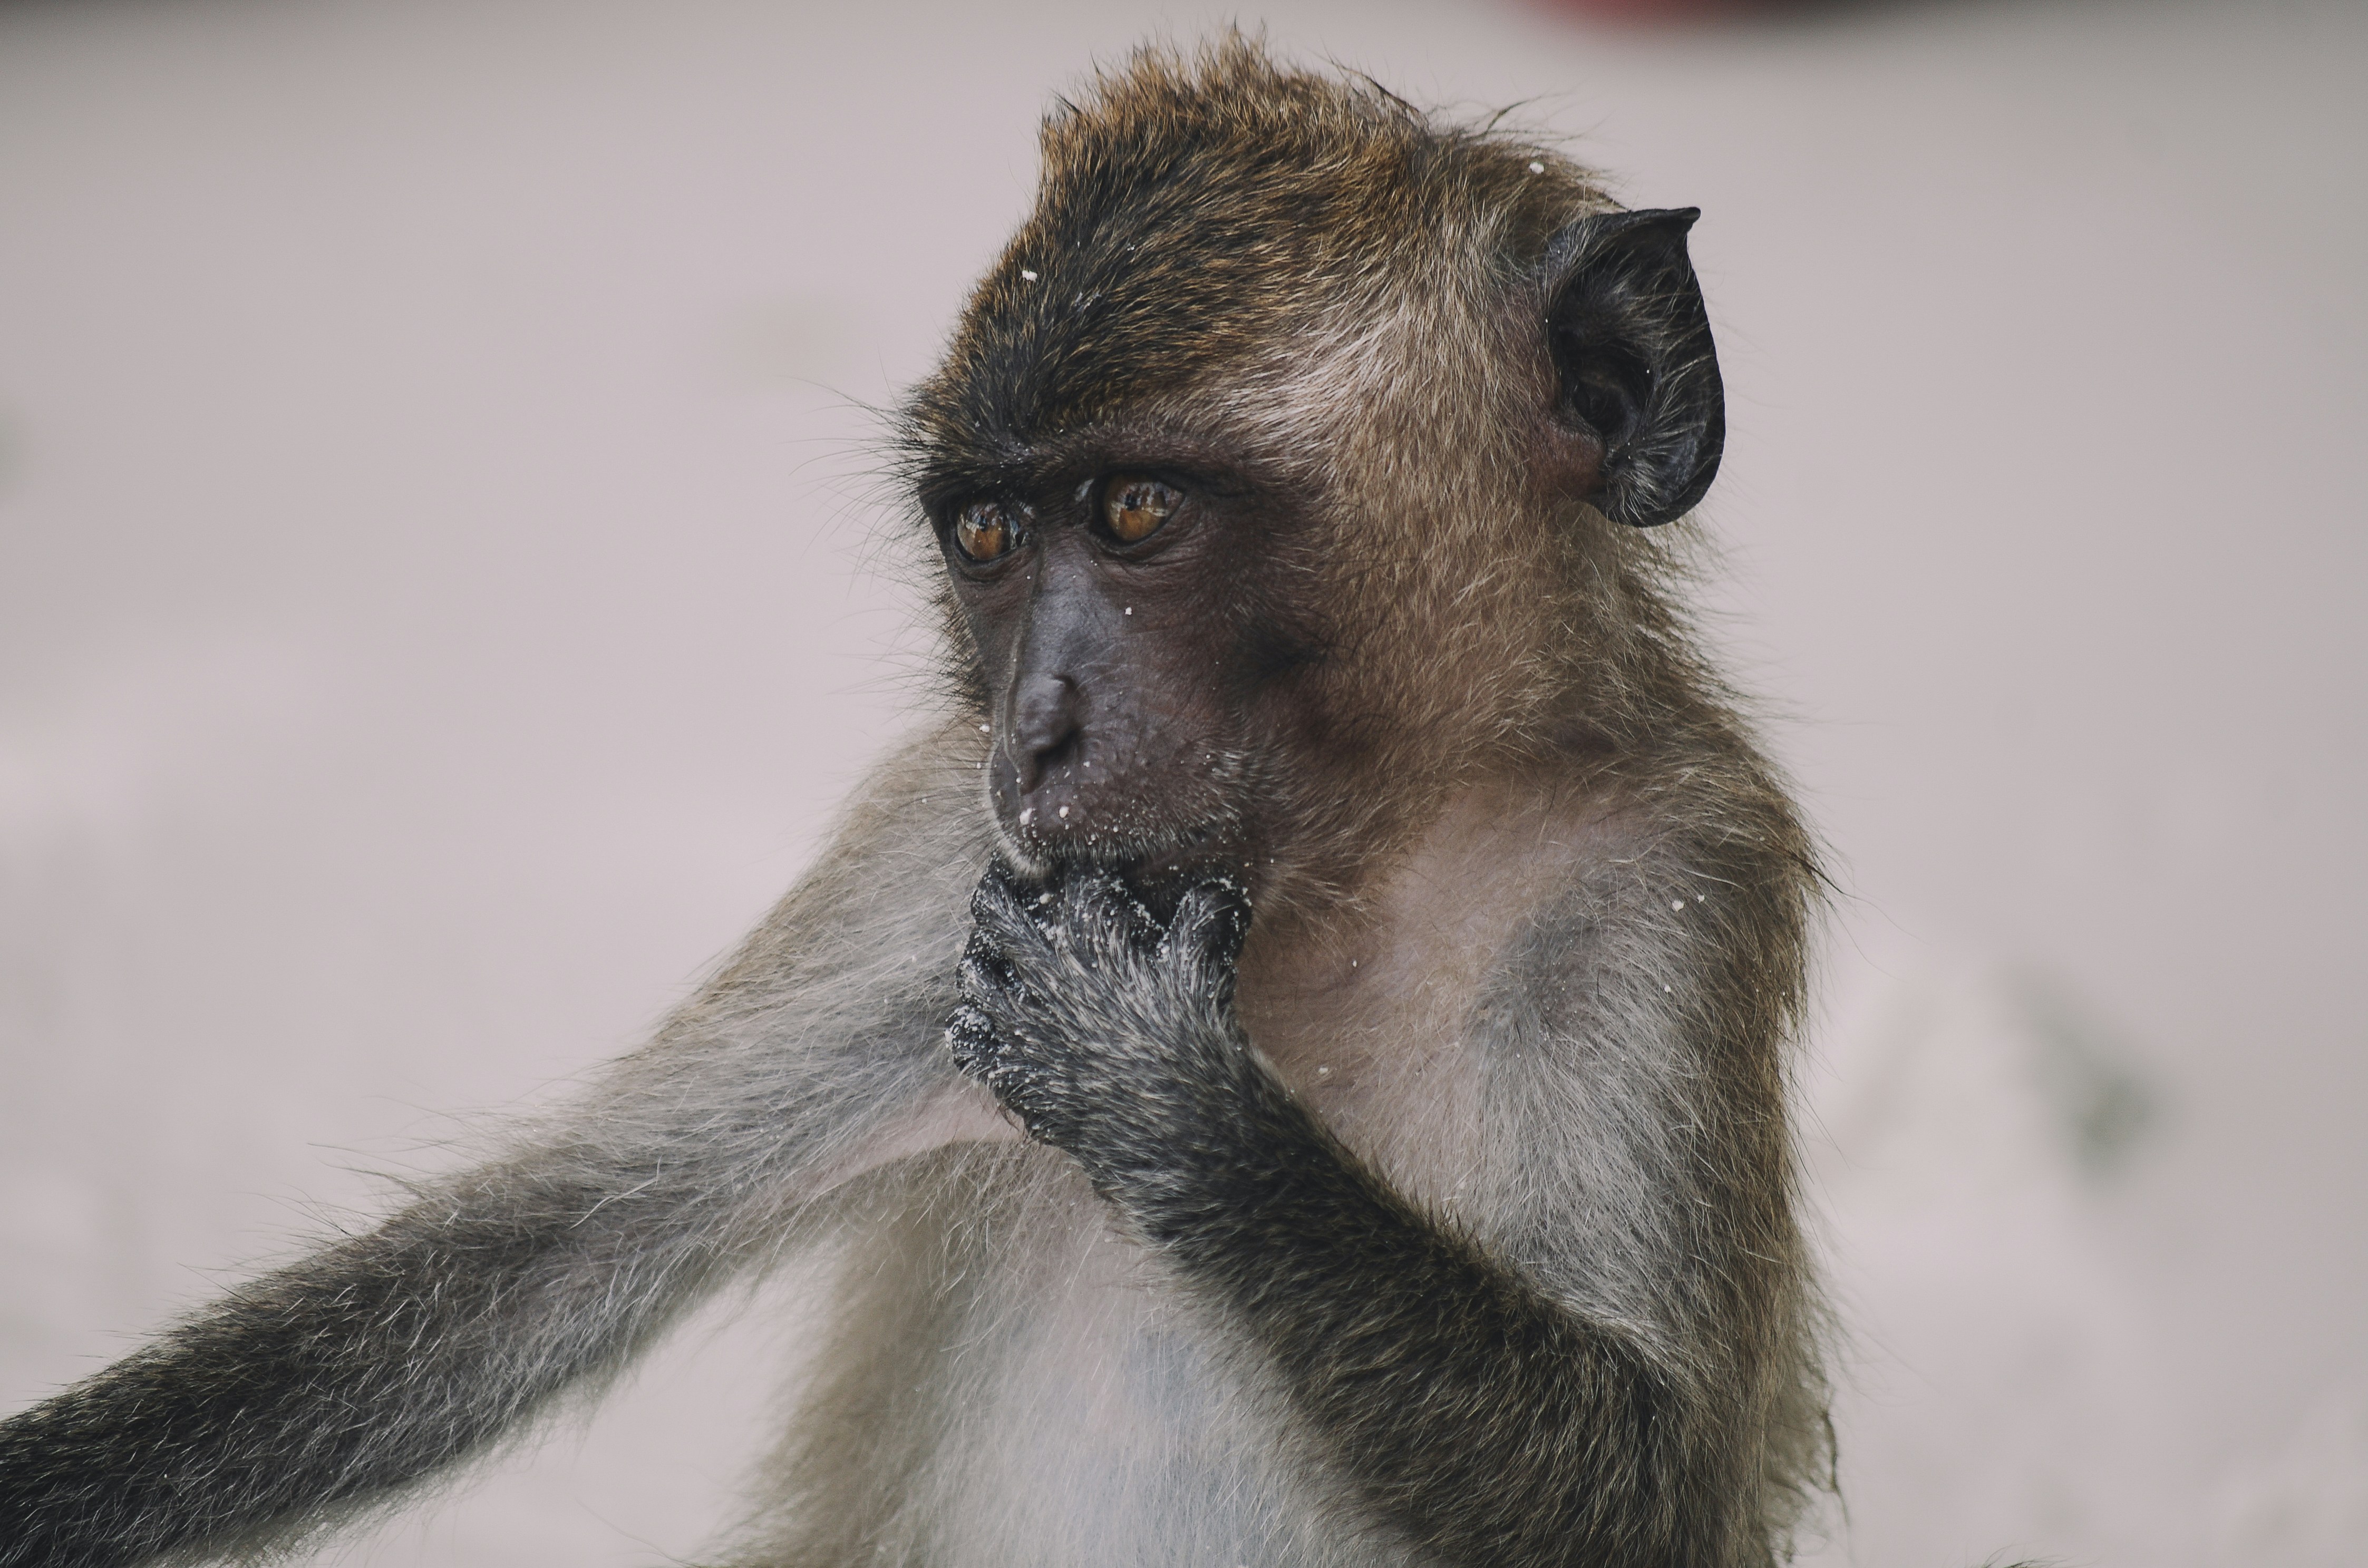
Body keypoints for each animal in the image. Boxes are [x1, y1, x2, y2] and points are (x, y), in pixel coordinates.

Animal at [0, 38, 1837, 1568]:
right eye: (987, 535)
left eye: (1132, 509)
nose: (1031, 728)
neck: (1347, 865)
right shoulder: (936, 857)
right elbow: (544, 1256)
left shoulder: (1668, 879)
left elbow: (1652, 1478)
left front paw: (1172, 1096)